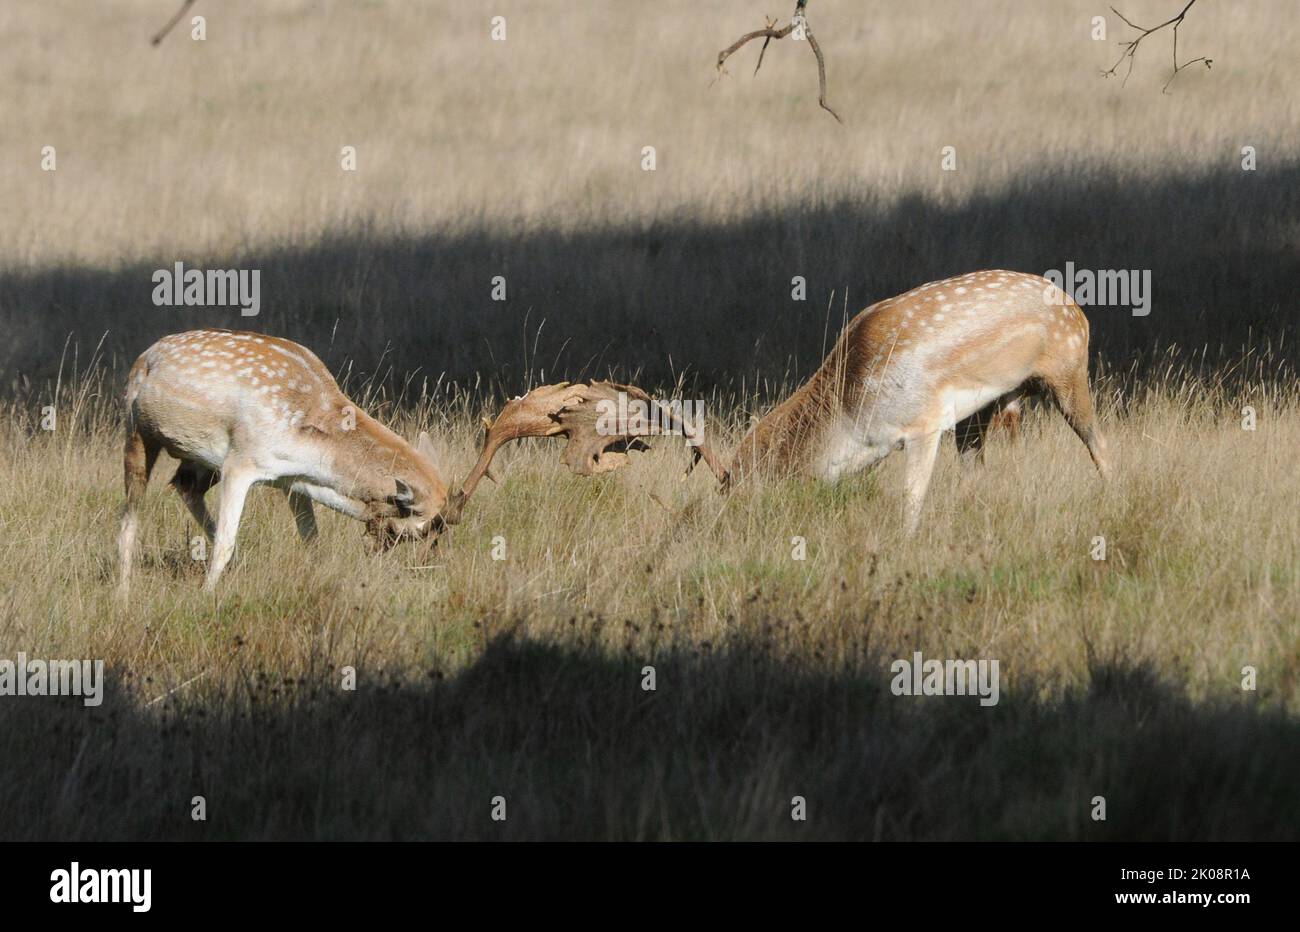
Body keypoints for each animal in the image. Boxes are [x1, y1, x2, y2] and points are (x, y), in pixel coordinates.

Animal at [116, 329, 453, 596]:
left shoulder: (291, 480)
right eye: (406, 532)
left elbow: (312, 539)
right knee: (130, 515)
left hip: (200, 459)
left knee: (183, 485)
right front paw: (206, 596)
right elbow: (226, 542)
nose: (427, 567)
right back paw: (124, 592)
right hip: (137, 432)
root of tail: (143, 356)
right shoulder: (240, 461)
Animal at [445, 270, 1112, 531]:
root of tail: (1077, 307)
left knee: (1102, 445)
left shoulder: (922, 422)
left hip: (1068, 372)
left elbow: (910, 504)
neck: (850, 412)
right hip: (989, 411)